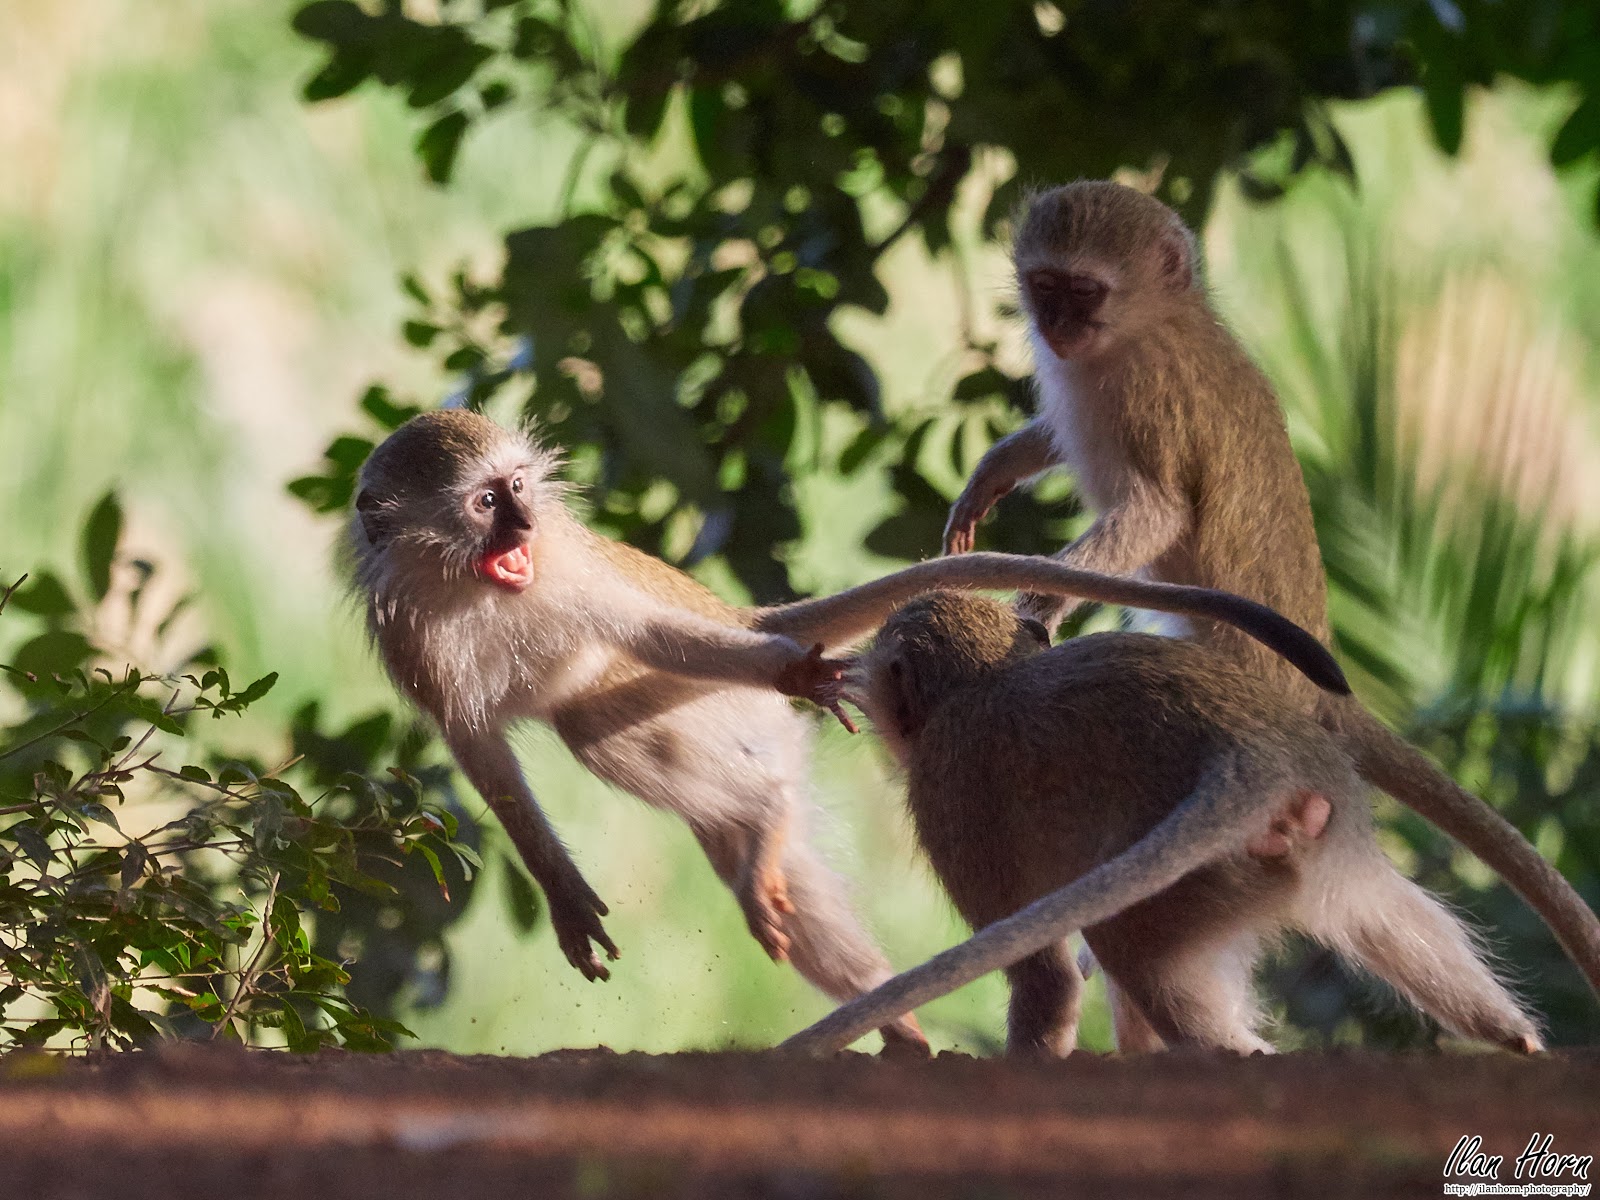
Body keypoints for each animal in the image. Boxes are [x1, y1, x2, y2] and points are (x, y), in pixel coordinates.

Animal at [347, 409, 1346, 1054]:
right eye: (486, 503)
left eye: (515, 487)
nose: (524, 519)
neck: (475, 589)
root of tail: (737, 609)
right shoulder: (415, 643)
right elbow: (479, 752)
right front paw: (562, 892)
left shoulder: (571, 580)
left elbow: (644, 635)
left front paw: (800, 673)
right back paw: (861, 984)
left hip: (720, 707)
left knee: (620, 707)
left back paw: (767, 809)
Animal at [780, 592, 1543, 1058]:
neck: (985, 679)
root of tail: (1252, 760)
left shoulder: (948, 797)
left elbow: (1047, 983)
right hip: (1332, 822)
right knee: (1379, 911)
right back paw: (1512, 1035)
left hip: (1204, 876)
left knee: (1134, 950)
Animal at [940, 180, 1600, 1018]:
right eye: (1045, 286)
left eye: (1085, 292)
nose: (1057, 326)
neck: (1152, 325)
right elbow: (1056, 442)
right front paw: (992, 473)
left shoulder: (1150, 396)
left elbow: (1158, 509)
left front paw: (1040, 606)